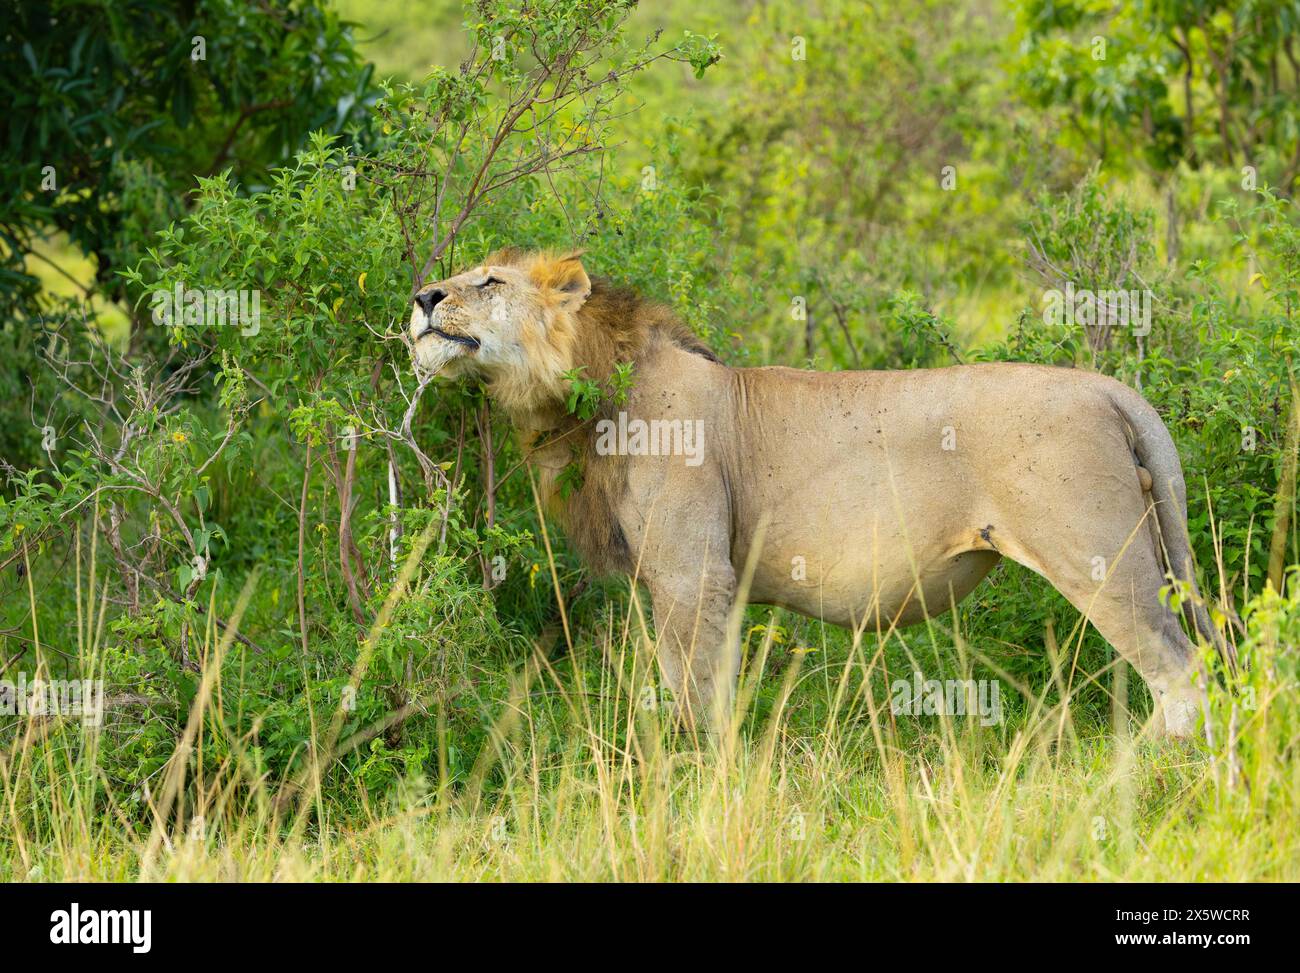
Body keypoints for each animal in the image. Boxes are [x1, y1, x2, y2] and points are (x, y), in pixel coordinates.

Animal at [408, 248, 1225, 738]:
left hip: (1099, 557)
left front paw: (685, 770)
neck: (586, 397)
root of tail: (1110, 388)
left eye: (489, 281)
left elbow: (689, 687)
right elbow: (698, 679)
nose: (420, 296)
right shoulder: (700, 580)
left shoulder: (692, 573)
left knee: (1181, 672)